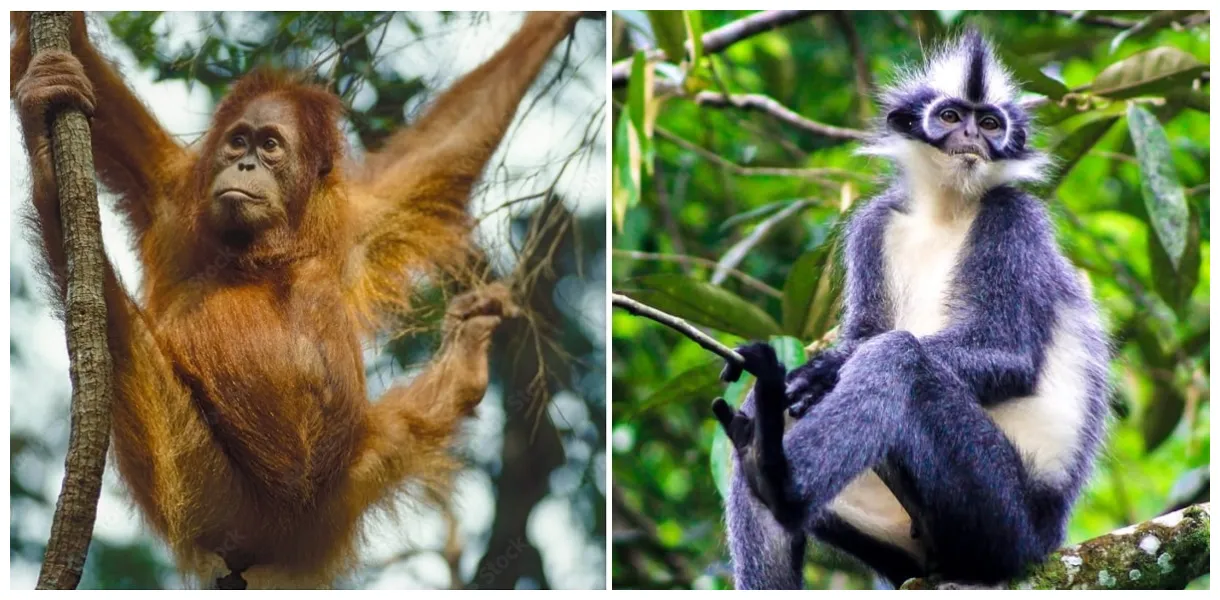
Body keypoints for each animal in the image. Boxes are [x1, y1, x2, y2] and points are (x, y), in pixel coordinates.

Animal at [12, 11, 582, 588]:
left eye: (270, 145)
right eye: (237, 142)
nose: (244, 166)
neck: (266, 250)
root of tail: (271, 546)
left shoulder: (354, 226)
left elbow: (442, 150)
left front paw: (552, 22)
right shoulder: (172, 196)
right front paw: (53, 77)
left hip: (336, 498)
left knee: (392, 415)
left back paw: (465, 365)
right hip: (207, 489)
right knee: (118, 335)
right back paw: (47, 181)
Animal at [712, 29, 1110, 588]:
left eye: (990, 124)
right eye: (950, 116)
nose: (971, 135)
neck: (946, 210)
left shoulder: (1014, 218)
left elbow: (1007, 355)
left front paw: (825, 370)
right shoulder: (873, 224)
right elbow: (865, 329)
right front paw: (813, 372)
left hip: (1001, 518)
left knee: (902, 359)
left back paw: (777, 477)